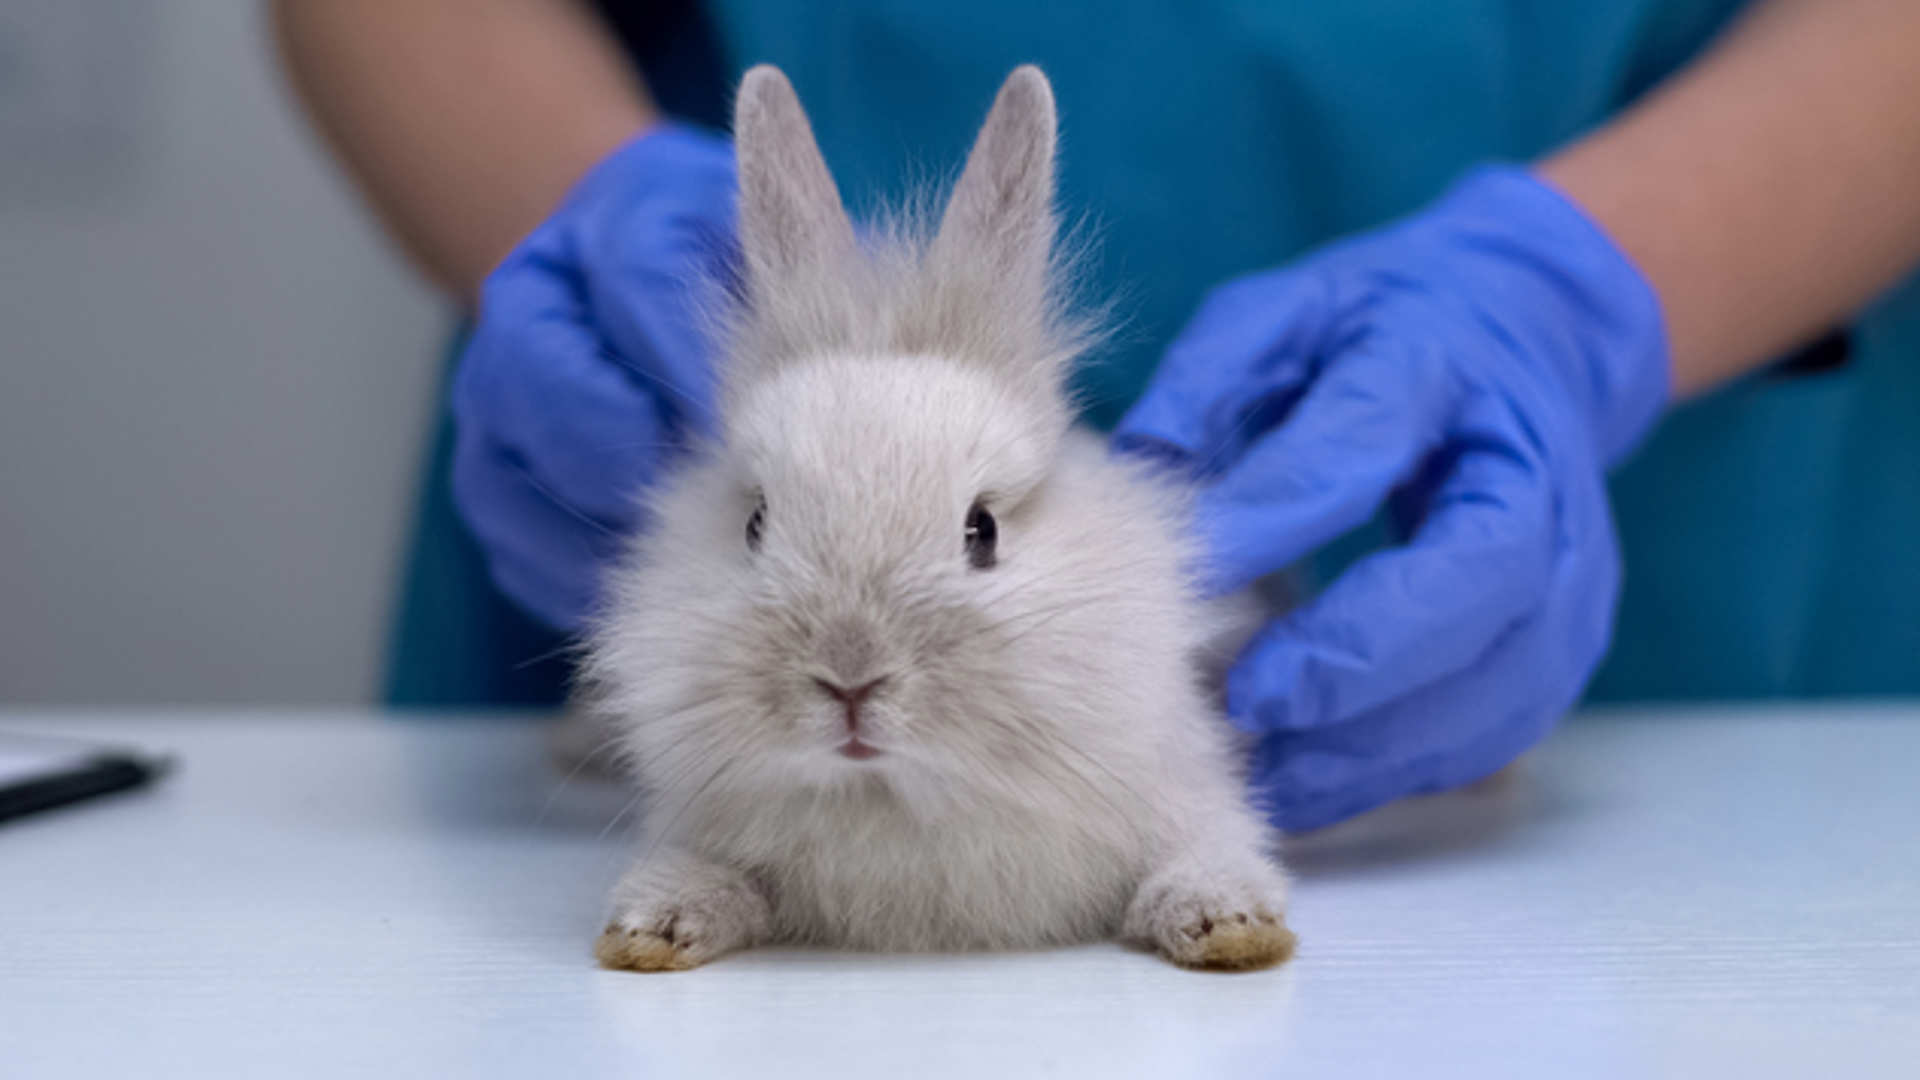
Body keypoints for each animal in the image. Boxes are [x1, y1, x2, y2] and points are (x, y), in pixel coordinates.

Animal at [584, 64, 1294, 972]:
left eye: (982, 530)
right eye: (754, 526)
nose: (850, 678)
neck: (894, 802)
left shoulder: (1189, 786)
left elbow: (1206, 854)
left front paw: (1231, 928)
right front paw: (652, 929)